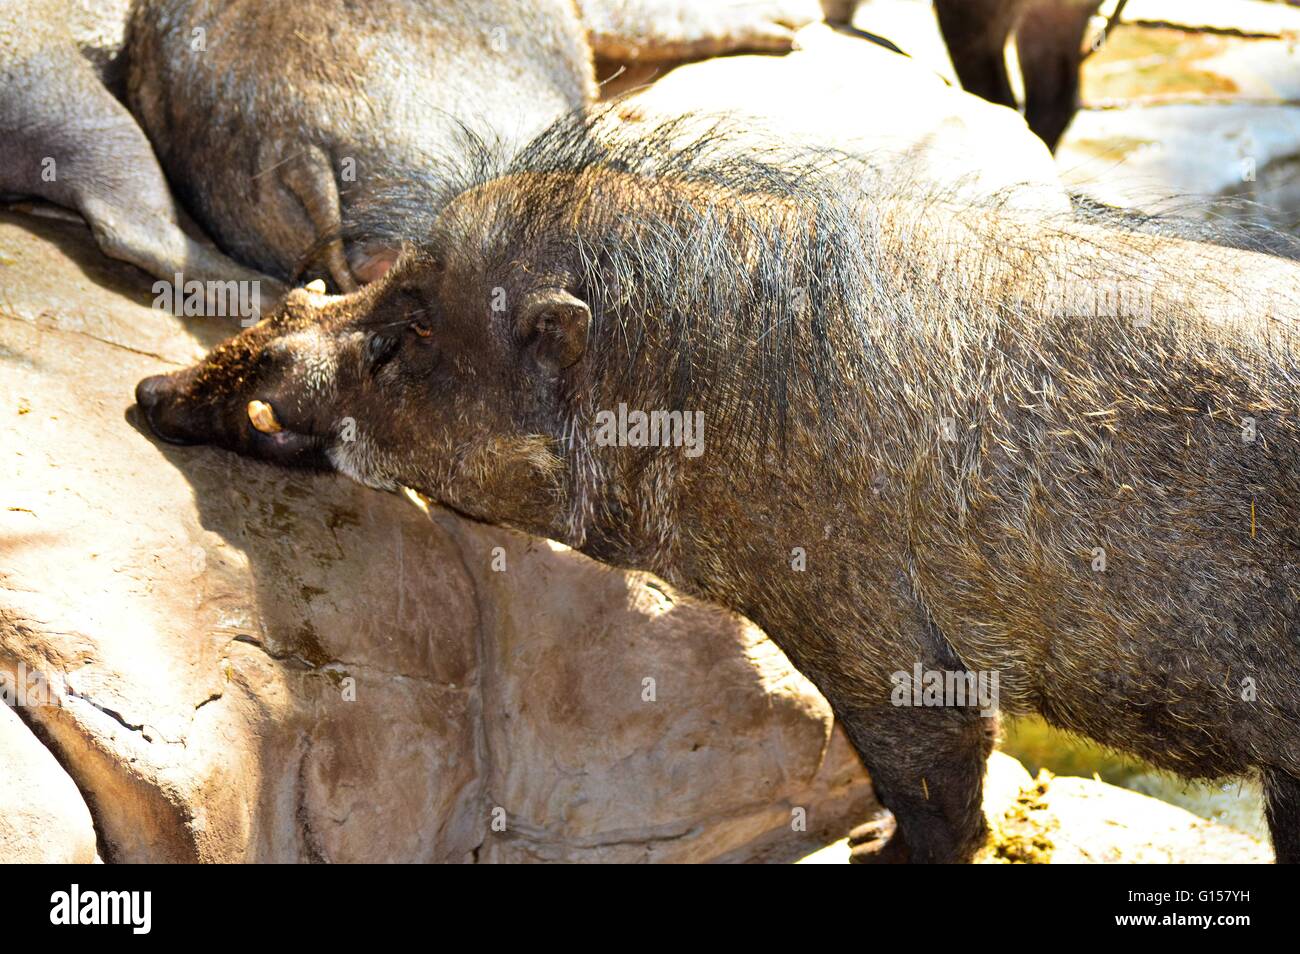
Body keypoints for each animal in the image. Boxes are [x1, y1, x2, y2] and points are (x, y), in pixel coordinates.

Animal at [136, 113, 1300, 863]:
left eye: (414, 334)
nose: (148, 391)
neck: (698, 397)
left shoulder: (882, 642)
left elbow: (941, 803)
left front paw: (868, 854)